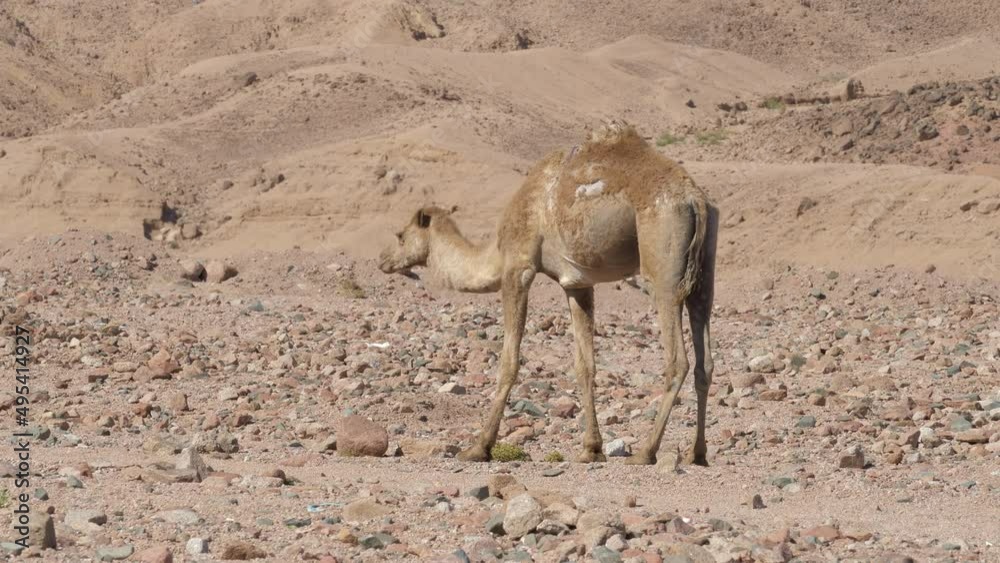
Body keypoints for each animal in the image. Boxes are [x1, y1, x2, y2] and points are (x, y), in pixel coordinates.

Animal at [378, 121, 719, 466]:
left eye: (401, 236)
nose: (383, 260)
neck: (495, 253)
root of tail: (695, 200)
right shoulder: (577, 284)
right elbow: (585, 365)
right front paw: (591, 449)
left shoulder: (518, 267)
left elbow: (509, 361)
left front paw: (478, 447)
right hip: (704, 274)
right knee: (704, 359)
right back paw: (698, 453)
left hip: (662, 261)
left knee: (677, 359)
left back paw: (646, 452)